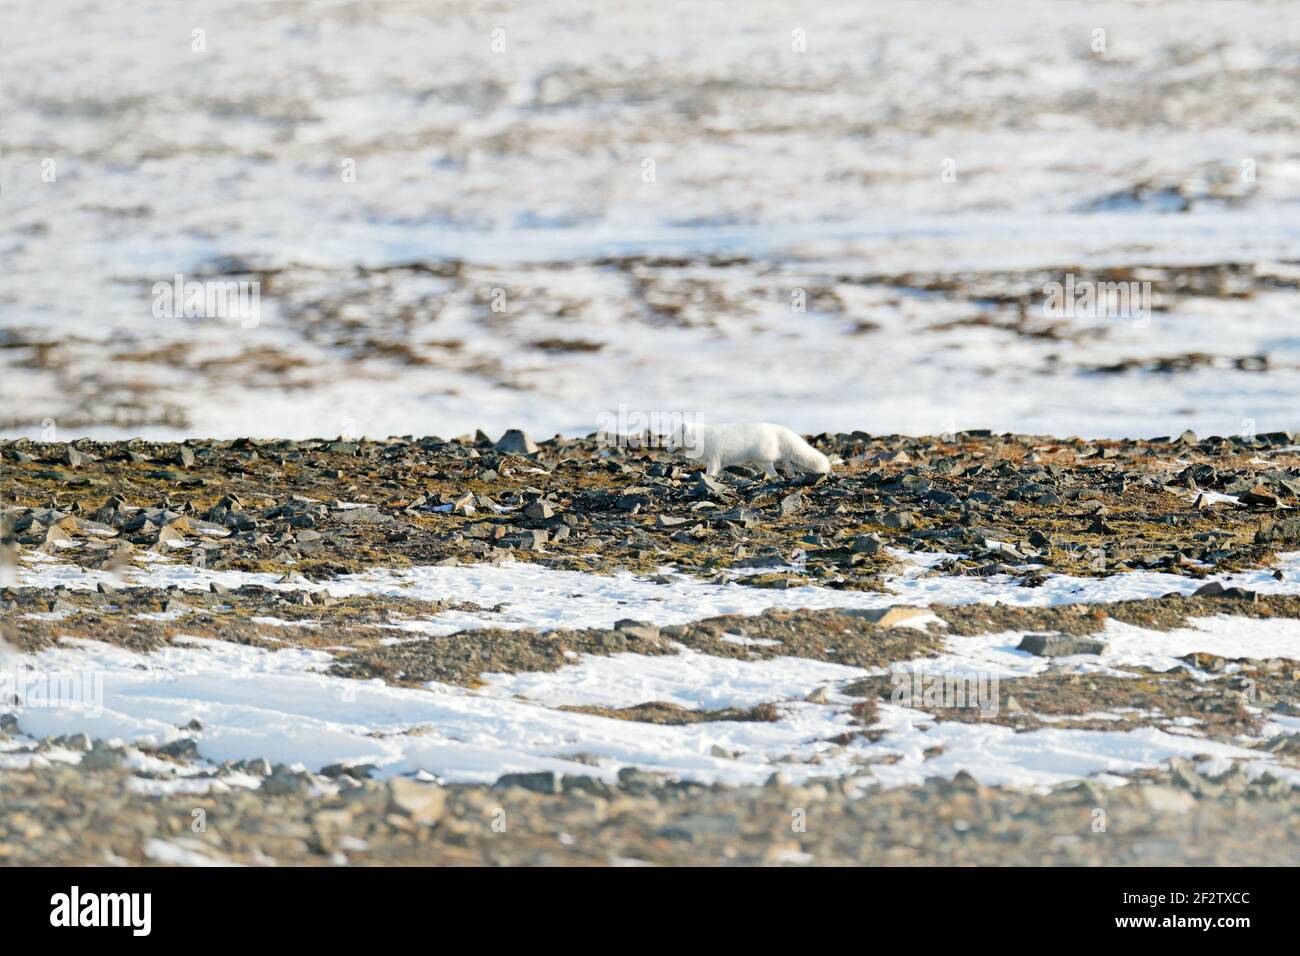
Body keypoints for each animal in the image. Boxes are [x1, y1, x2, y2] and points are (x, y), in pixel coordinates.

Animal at [665, 422, 832, 478]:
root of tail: (773, 427)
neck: (700, 438)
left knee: (778, 463)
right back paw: (790, 473)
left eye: (673, 441)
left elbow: (710, 471)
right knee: (784, 459)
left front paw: (708, 479)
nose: (666, 450)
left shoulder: (714, 459)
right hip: (762, 460)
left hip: (762, 458)